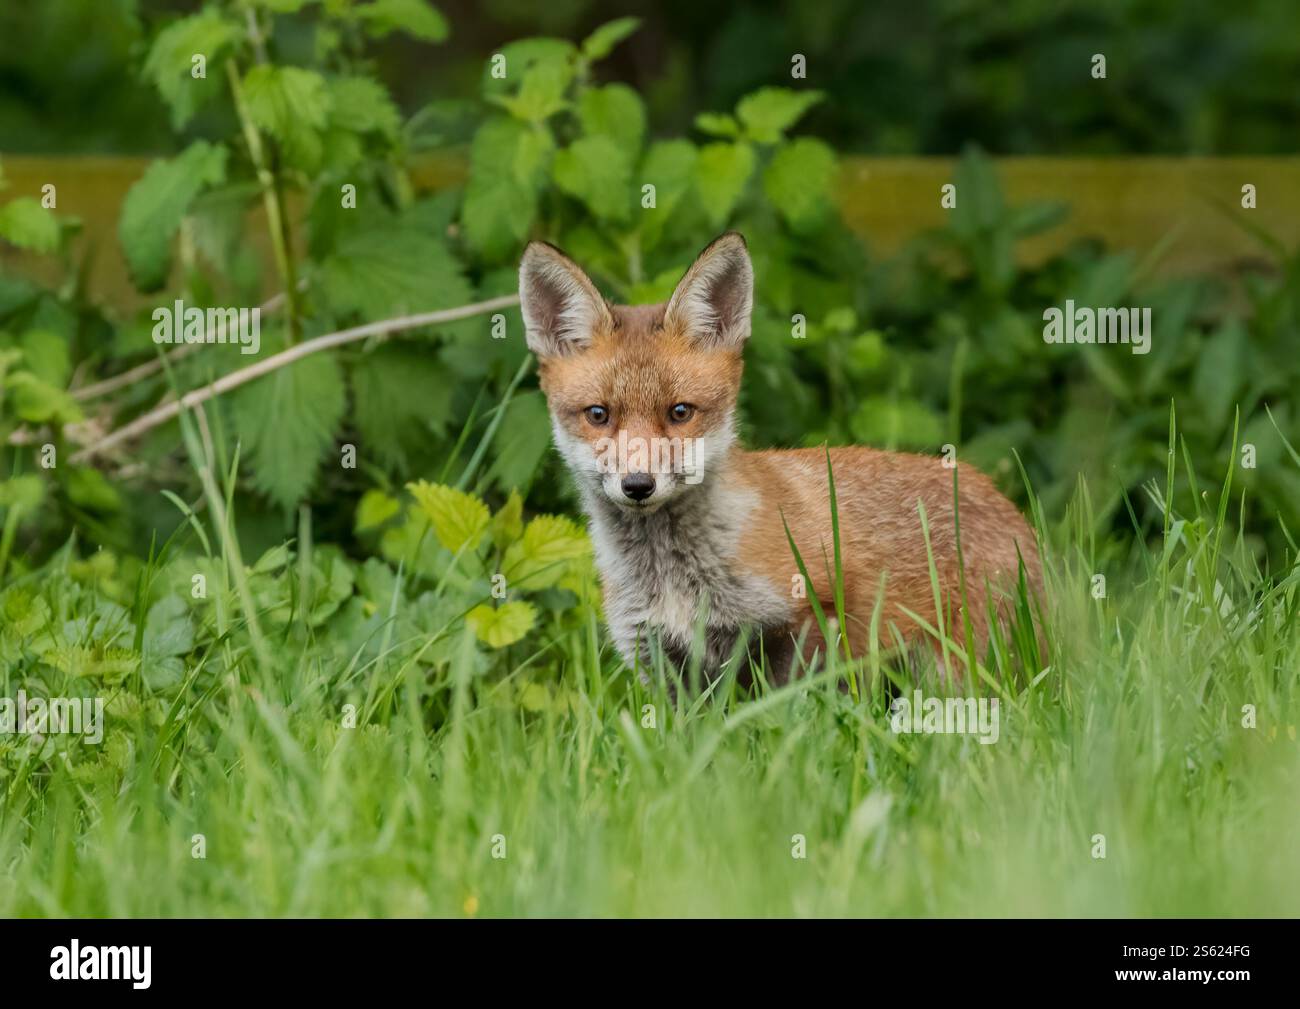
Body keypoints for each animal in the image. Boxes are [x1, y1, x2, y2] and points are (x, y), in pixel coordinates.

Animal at [519, 232, 1044, 681]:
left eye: (680, 412)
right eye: (599, 414)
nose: (638, 485)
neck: (673, 577)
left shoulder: (807, 618)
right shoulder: (654, 654)